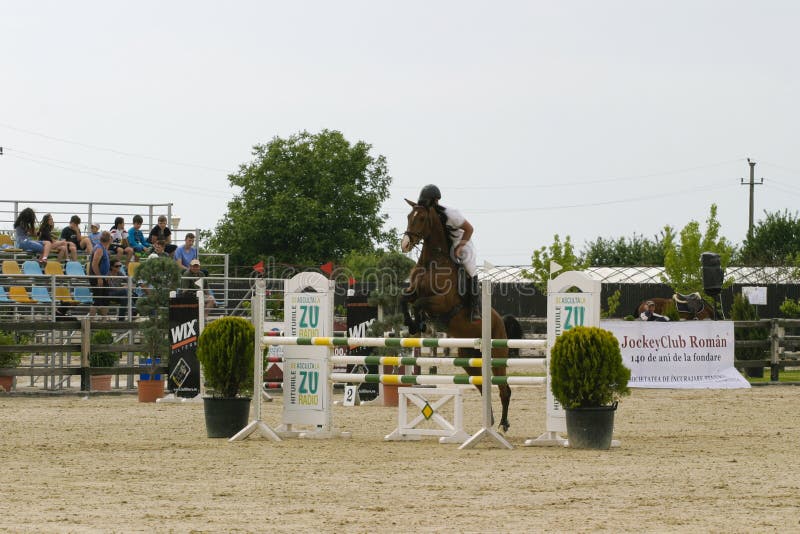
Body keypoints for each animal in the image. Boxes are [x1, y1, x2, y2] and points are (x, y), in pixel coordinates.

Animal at [399, 198, 521, 432]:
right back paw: (490, 421)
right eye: (409, 216)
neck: (432, 262)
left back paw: (504, 424)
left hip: (497, 356)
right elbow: (403, 299)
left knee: (504, 389)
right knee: (482, 386)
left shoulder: (441, 303)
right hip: (467, 359)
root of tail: (500, 320)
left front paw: (419, 324)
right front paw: (411, 324)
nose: (405, 244)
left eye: (421, 218)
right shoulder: (413, 291)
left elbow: (419, 304)